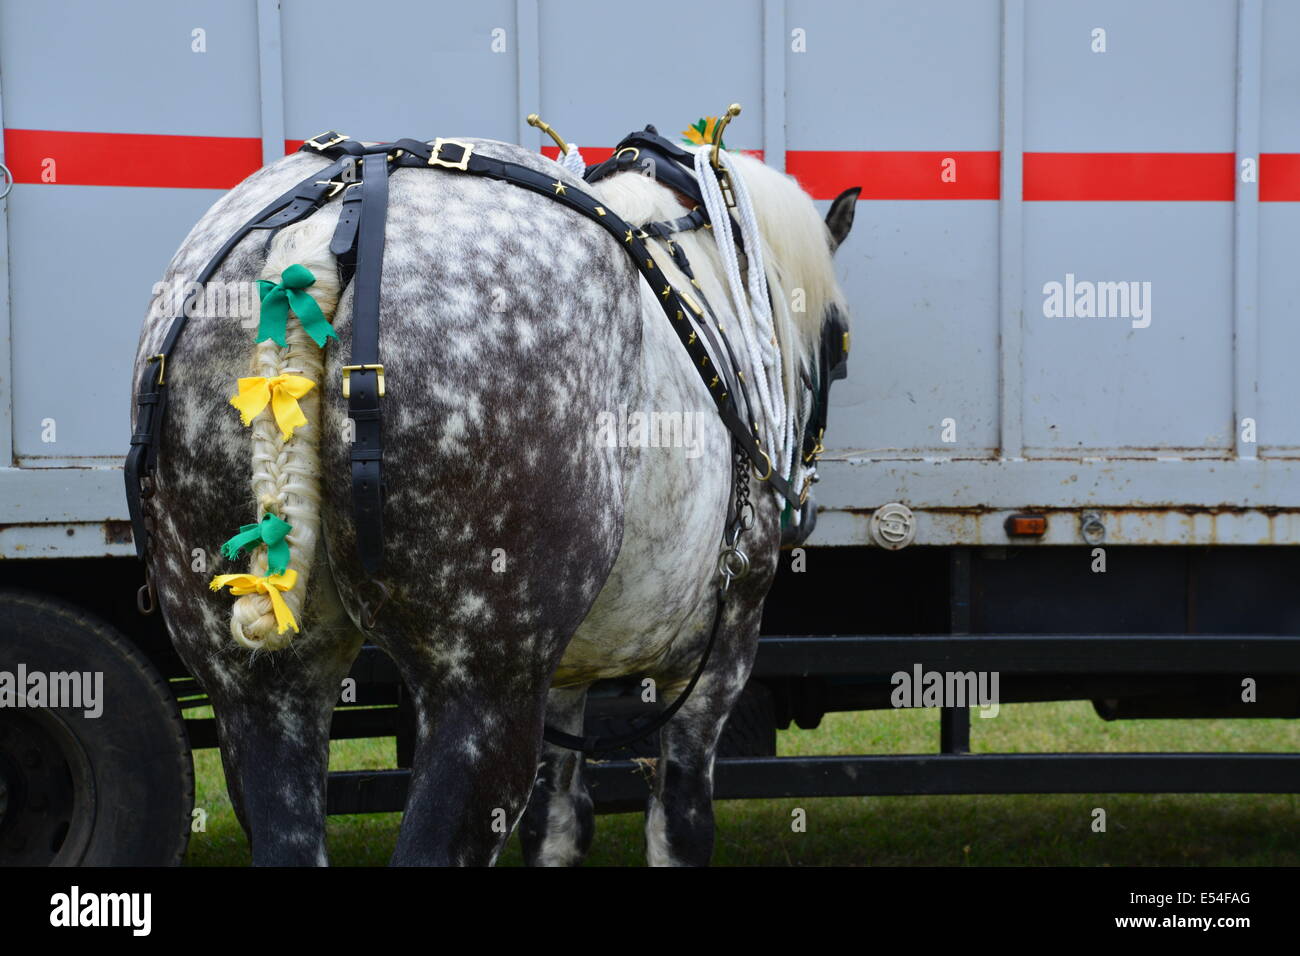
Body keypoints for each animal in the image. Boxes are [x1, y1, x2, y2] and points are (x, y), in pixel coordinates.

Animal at [131, 131, 858, 866]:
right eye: (839, 347)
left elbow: (557, 824)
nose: (804, 512)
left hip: (260, 689)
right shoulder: (716, 660)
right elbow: (678, 824)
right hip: (483, 689)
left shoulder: (566, 675)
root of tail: (323, 227)